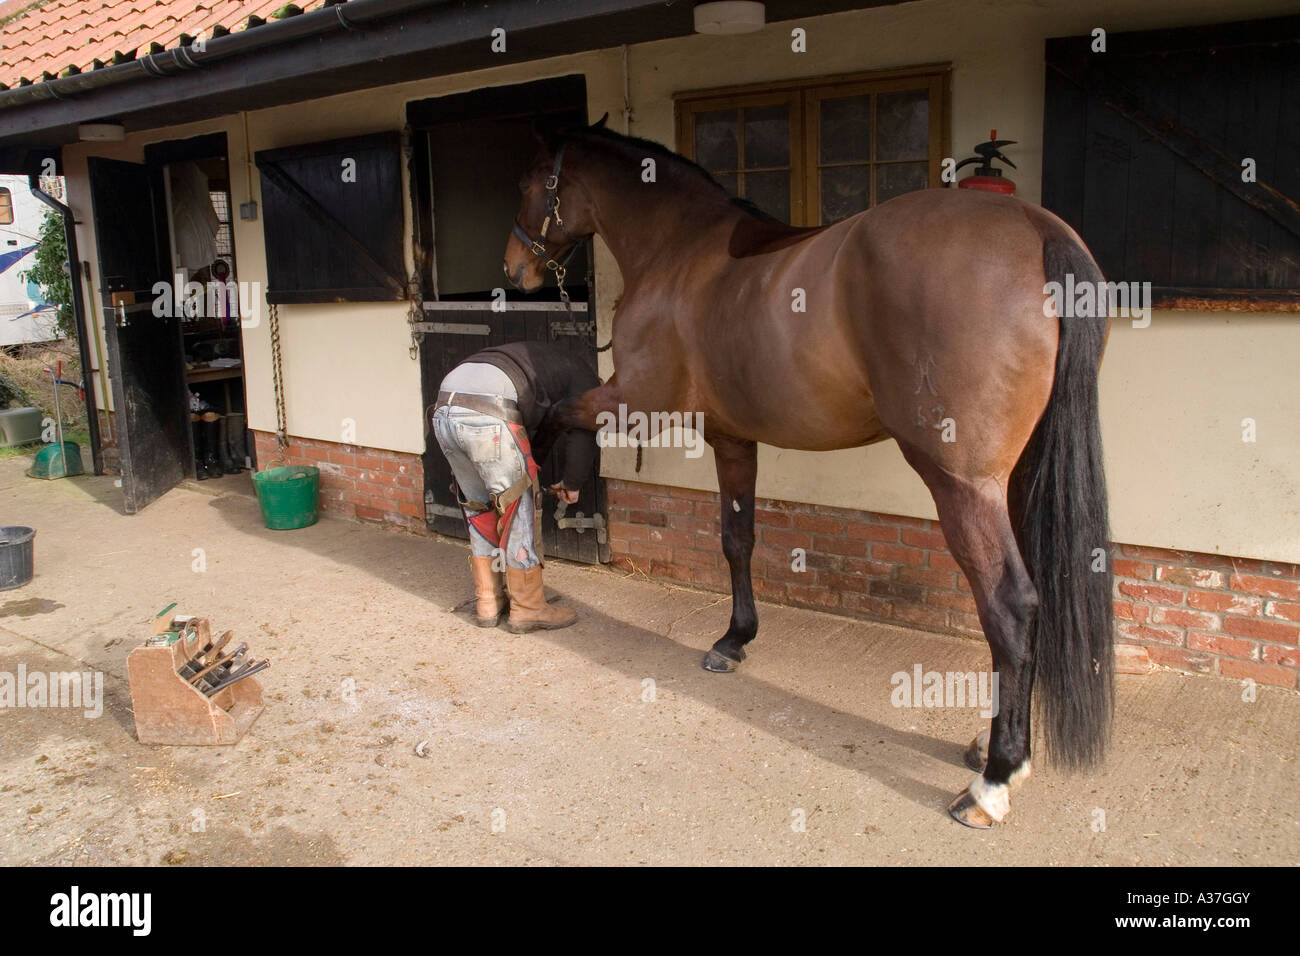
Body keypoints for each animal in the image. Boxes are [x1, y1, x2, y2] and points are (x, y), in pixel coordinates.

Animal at [502, 116, 1113, 828]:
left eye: (528, 183)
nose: (513, 268)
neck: (677, 249)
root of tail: (1035, 228)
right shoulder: (733, 439)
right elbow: (738, 540)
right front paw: (734, 640)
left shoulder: (631, 398)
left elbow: (556, 417)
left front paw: (552, 487)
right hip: (1011, 478)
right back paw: (992, 748)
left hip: (963, 486)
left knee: (1010, 605)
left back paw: (993, 780)